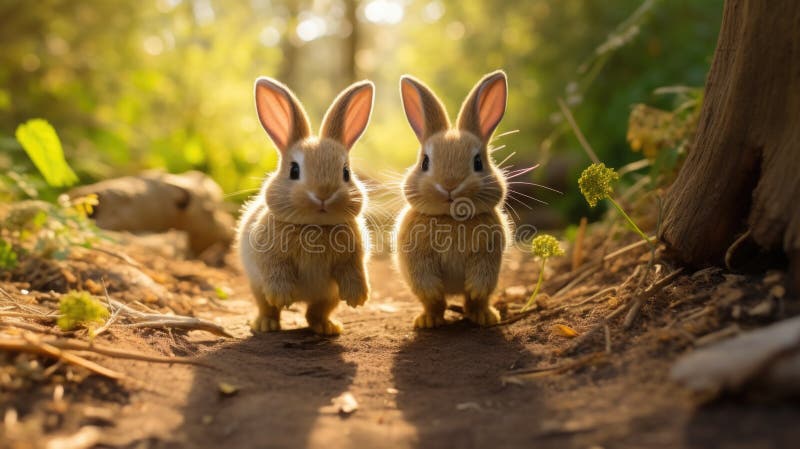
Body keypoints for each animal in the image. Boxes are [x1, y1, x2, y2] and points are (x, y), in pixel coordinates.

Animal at [237, 77, 374, 335]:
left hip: (329, 297)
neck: (314, 226)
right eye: (294, 170)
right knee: (267, 306)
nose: (323, 195)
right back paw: (266, 325)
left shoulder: (352, 258)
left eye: (346, 172)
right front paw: (283, 297)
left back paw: (328, 327)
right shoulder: (270, 257)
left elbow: (353, 271)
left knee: (316, 312)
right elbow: (277, 271)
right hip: (257, 287)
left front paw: (357, 298)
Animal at [395, 70, 511, 328]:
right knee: (434, 304)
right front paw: (436, 290)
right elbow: (426, 280)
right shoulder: (417, 256)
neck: (450, 218)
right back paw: (428, 320)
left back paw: (485, 316)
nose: (449, 186)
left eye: (478, 162)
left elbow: (481, 277)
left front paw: (475, 289)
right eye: (425, 162)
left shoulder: (488, 252)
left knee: (474, 302)